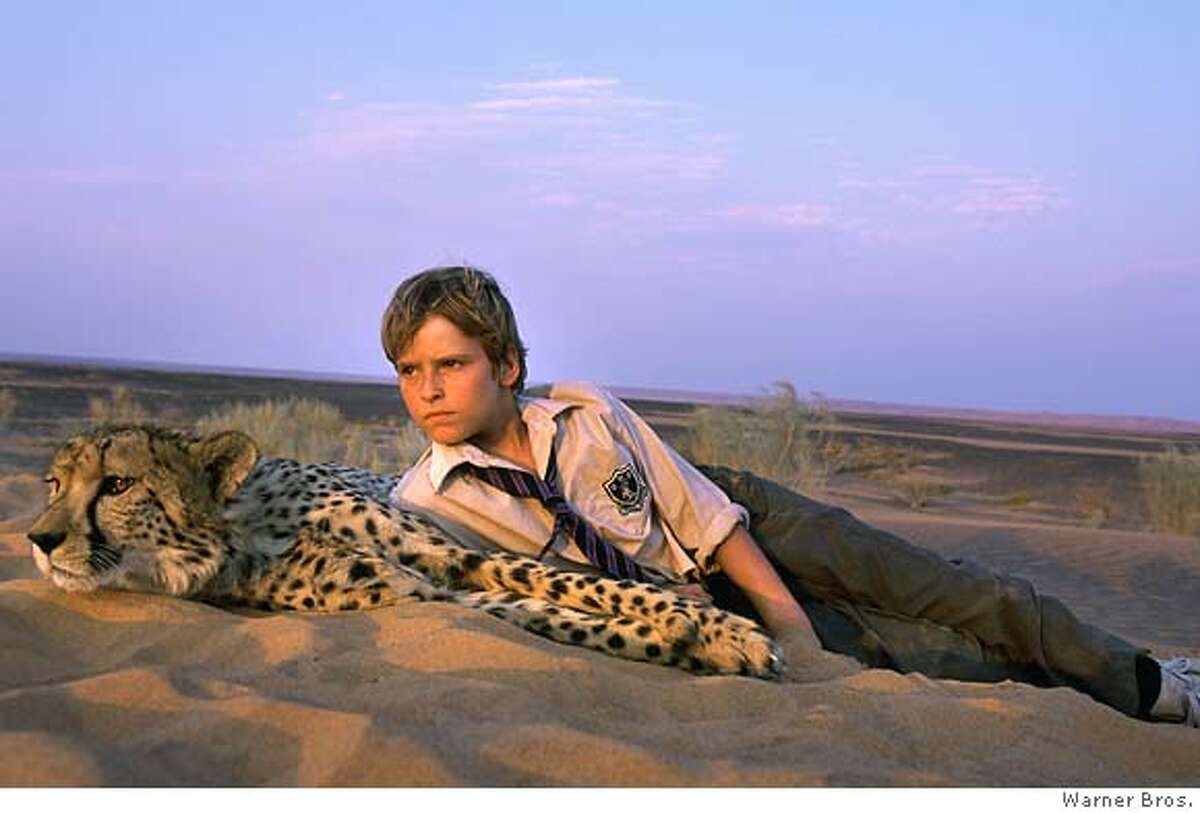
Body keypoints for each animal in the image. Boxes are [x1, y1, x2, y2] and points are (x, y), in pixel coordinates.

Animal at [26, 424, 784, 678]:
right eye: (55, 484)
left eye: (117, 483)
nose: (38, 539)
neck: (243, 526)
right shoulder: (430, 592)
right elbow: (553, 618)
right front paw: (695, 641)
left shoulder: (451, 555)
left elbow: (594, 586)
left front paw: (727, 630)